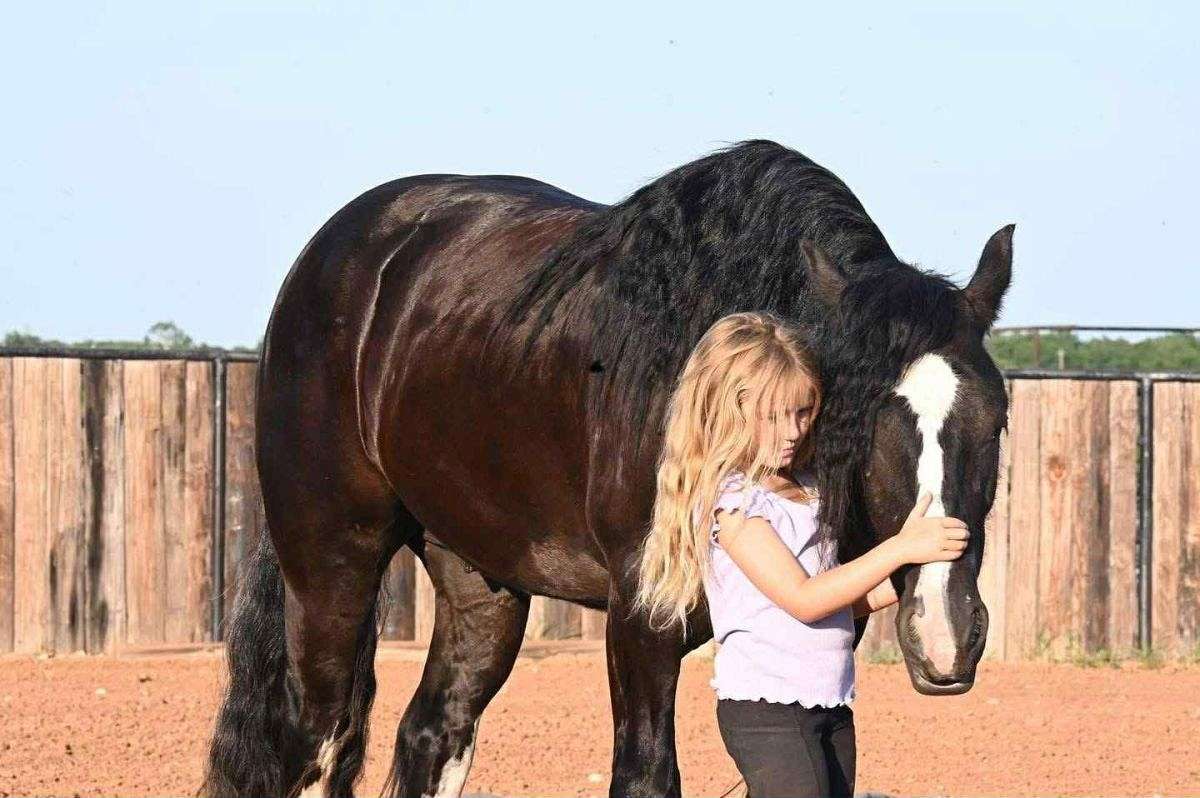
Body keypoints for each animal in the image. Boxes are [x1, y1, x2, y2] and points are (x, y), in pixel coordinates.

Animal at [202, 139, 1013, 798]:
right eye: (863, 421)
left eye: (998, 418)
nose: (947, 633)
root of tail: (333, 257)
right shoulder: (640, 624)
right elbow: (647, 776)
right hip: (330, 565)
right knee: (321, 740)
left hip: (478, 581)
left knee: (433, 733)